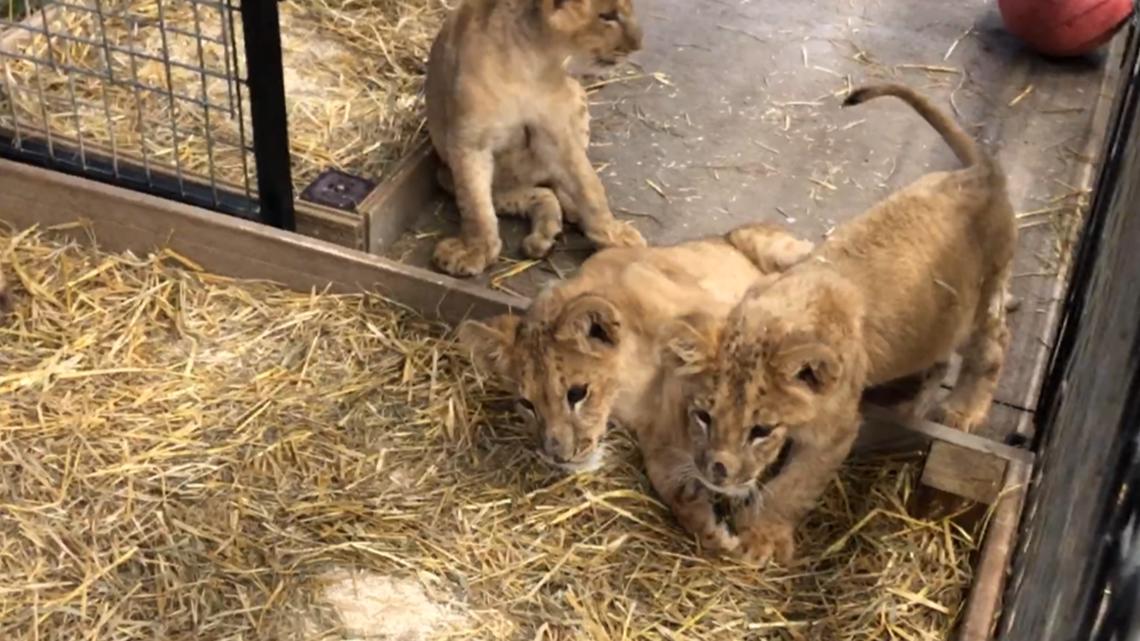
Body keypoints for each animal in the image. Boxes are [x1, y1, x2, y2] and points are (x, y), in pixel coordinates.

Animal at [425, 0, 647, 277]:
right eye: (607, 16)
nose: (638, 44)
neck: (531, 59)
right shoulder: (469, 143)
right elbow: (475, 204)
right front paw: (475, 251)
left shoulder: (555, 128)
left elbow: (588, 184)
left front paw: (614, 235)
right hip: (446, 174)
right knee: (539, 193)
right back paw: (543, 238)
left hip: (576, 95)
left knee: (559, 184)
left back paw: (570, 215)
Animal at [662, 83, 1017, 563]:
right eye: (703, 415)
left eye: (760, 431)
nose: (717, 471)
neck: (779, 320)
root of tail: (980, 172)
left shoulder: (836, 429)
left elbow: (794, 486)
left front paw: (761, 538)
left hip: (982, 301)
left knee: (992, 346)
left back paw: (964, 409)